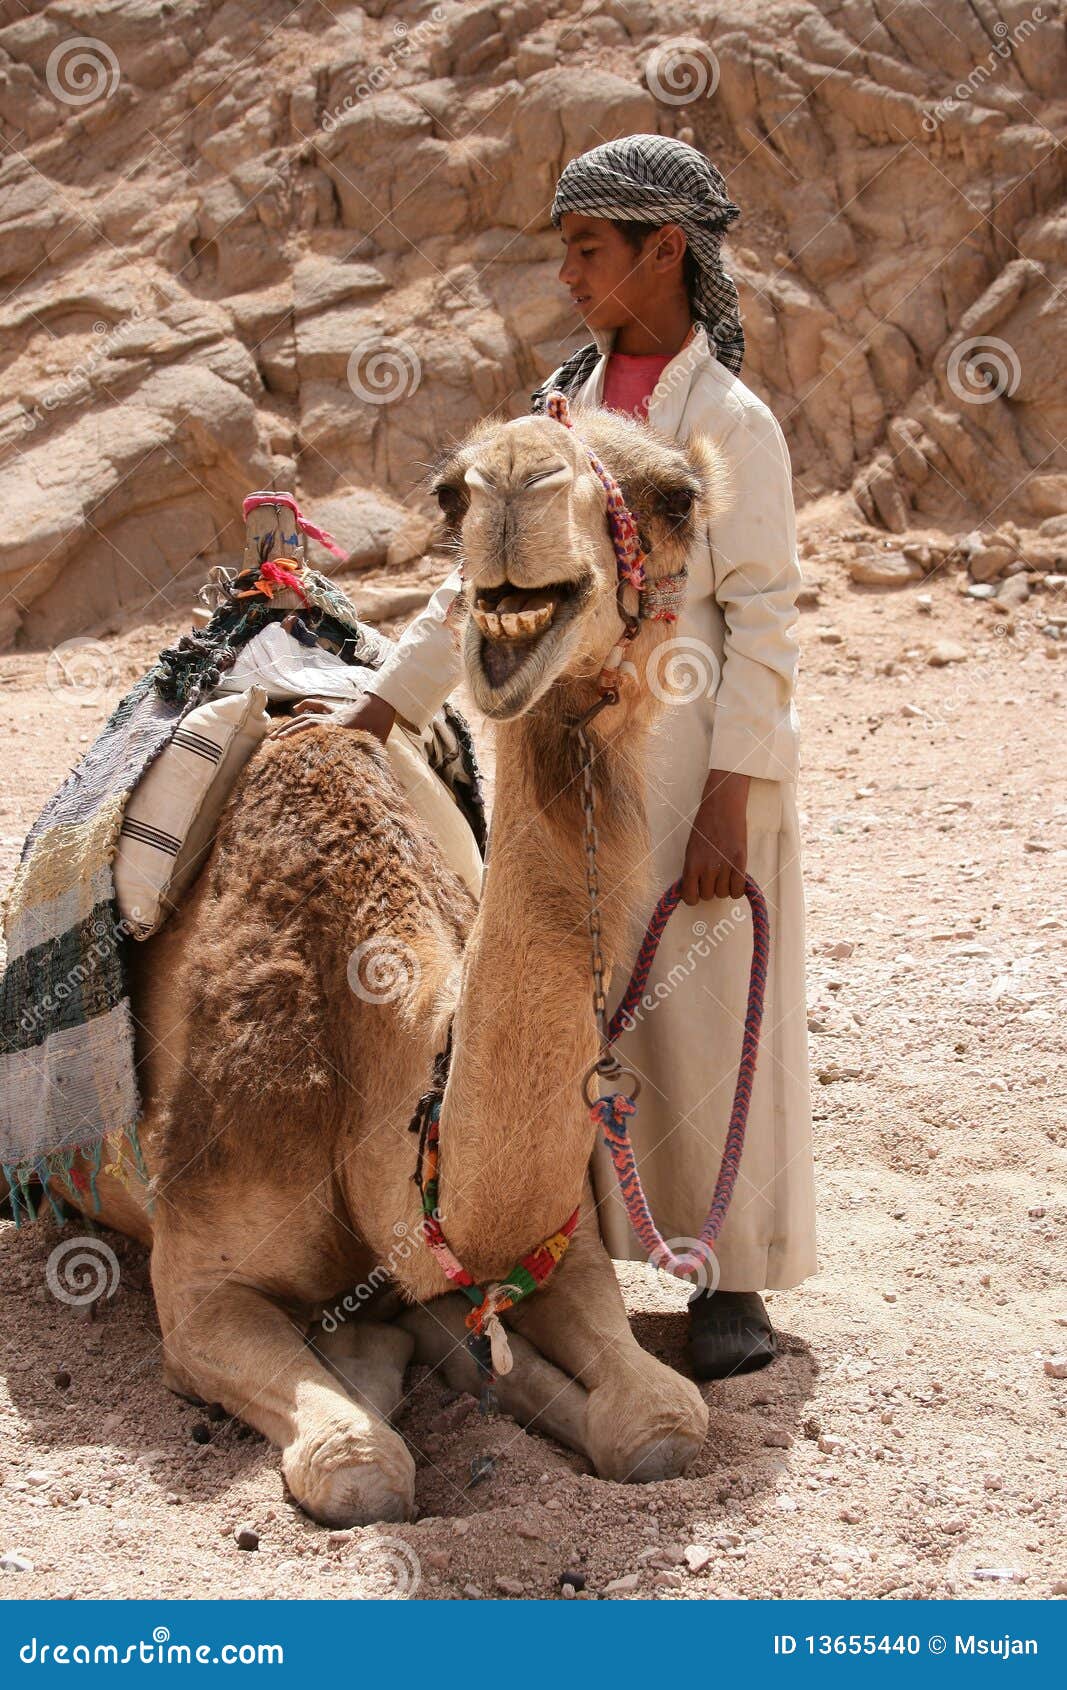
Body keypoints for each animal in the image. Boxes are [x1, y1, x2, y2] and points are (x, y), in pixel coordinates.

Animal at [34, 404, 732, 1527]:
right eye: (449, 493)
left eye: (675, 496)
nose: (513, 479)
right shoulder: (199, 1287)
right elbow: (356, 1463)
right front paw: (380, 1359)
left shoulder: (557, 1241)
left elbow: (663, 1420)